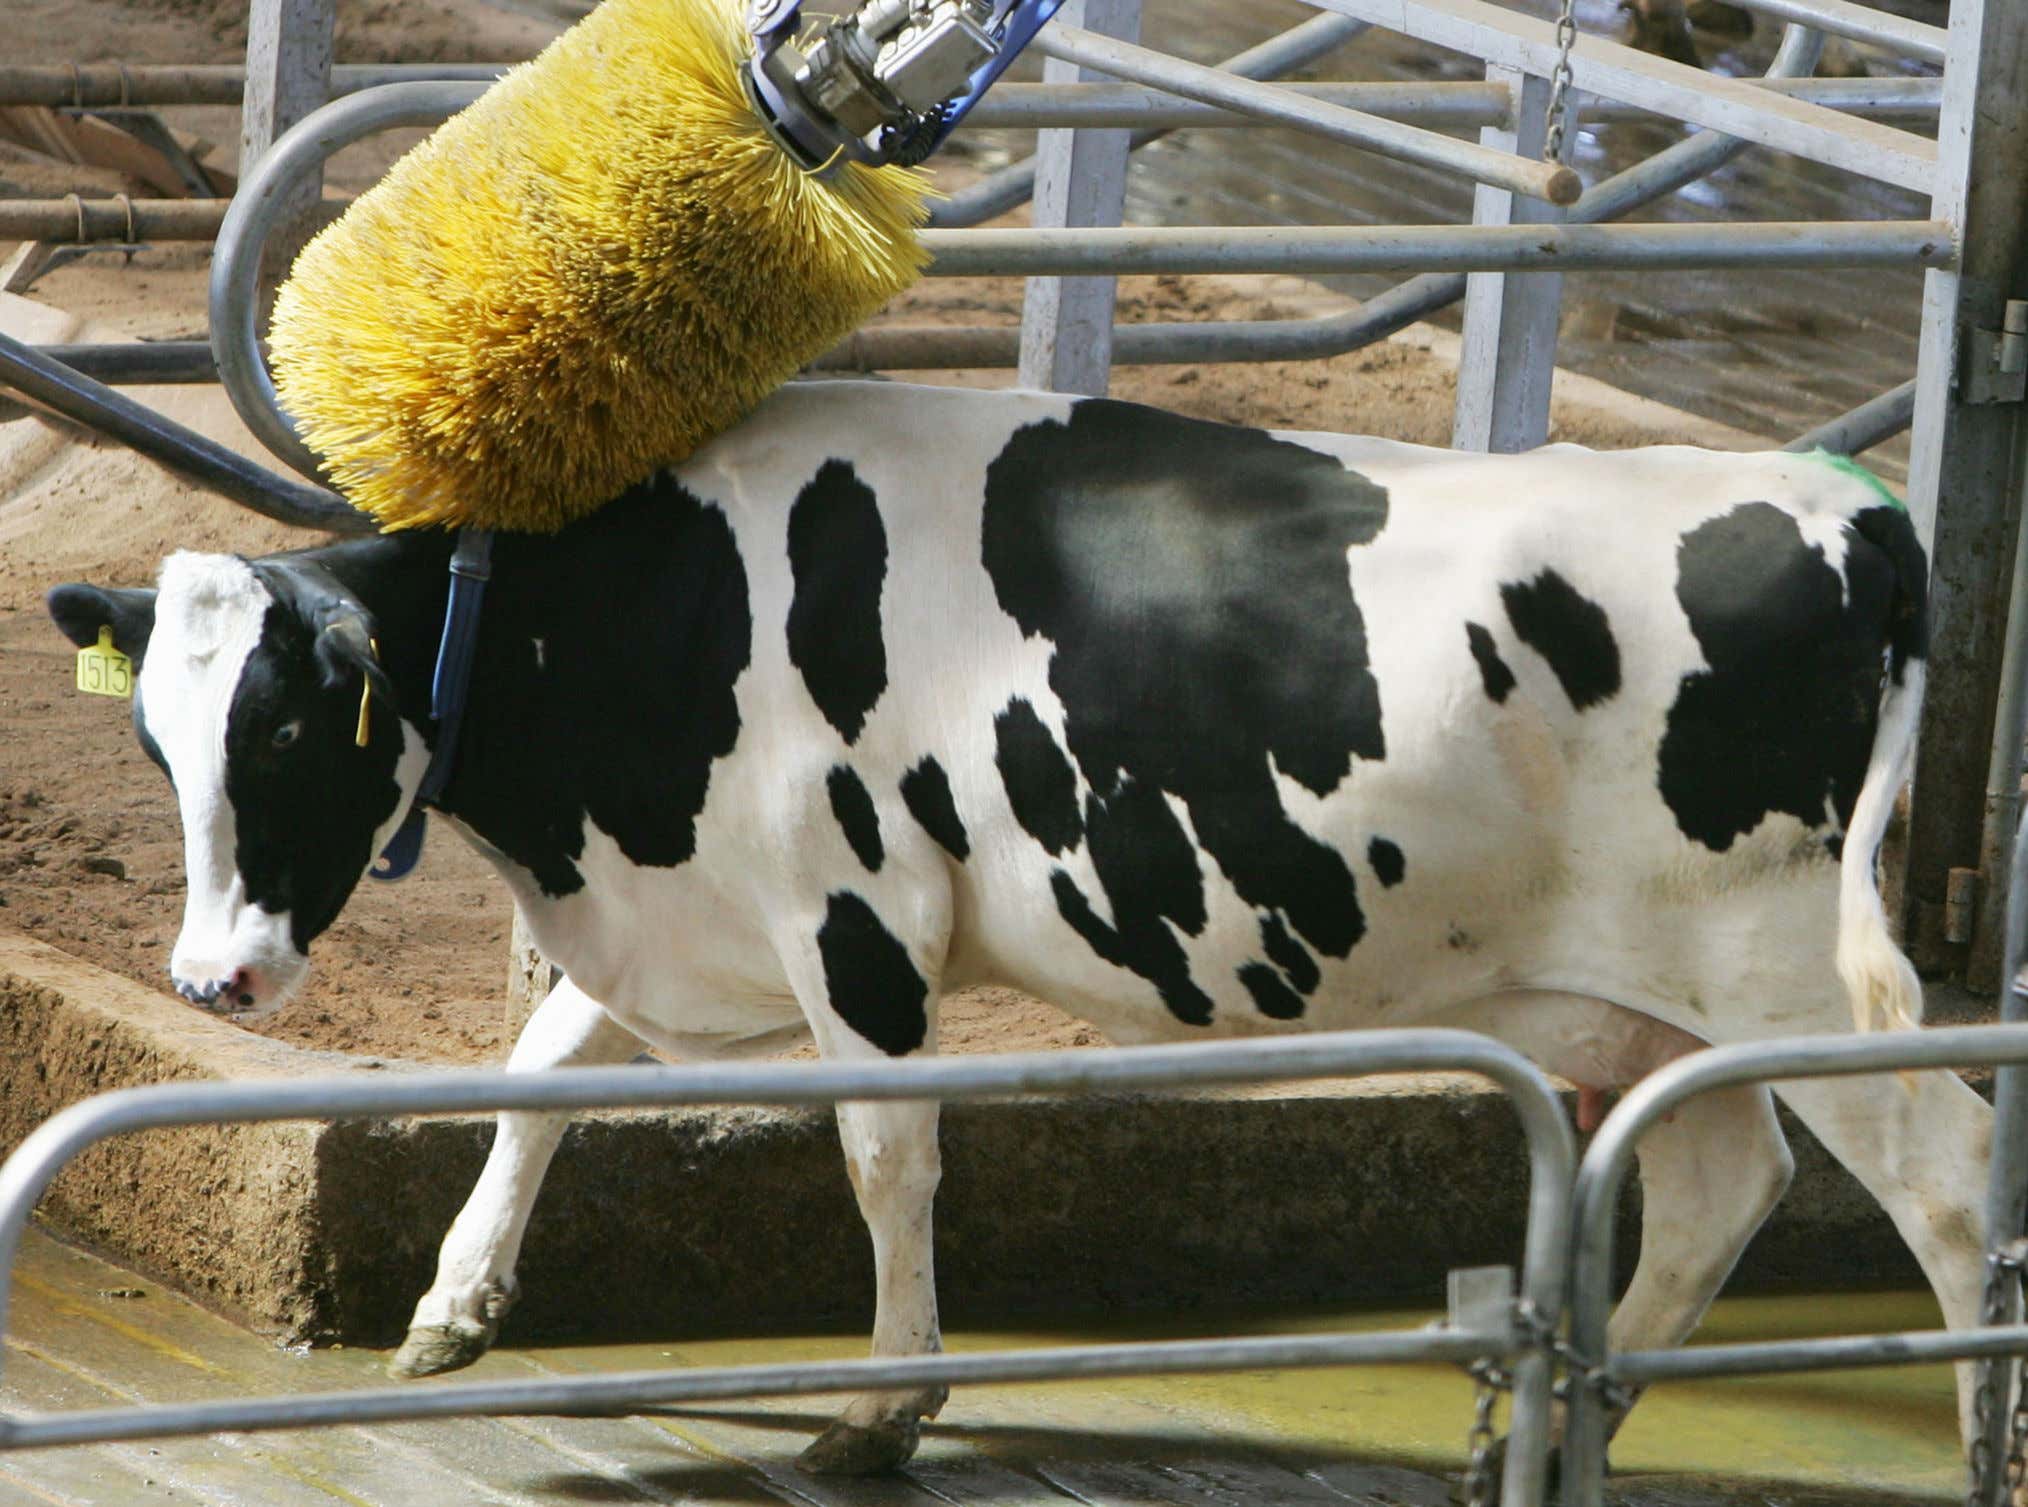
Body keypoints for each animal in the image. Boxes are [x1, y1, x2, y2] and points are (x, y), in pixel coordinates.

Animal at [48, 379, 1987, 1479]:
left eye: (285, 731)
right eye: (153, 736)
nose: (211, 973)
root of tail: (1848, 511)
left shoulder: (852, 913)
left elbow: (884, 1159)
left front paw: (882, 1407)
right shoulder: (705, 904)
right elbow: (542, 1064)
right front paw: (454, 1302)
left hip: (1785, 966)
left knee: (1951, 1179)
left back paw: (1979, 1439)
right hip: (1653, 993)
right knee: (1722, 1181)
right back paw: (1548, 1418)